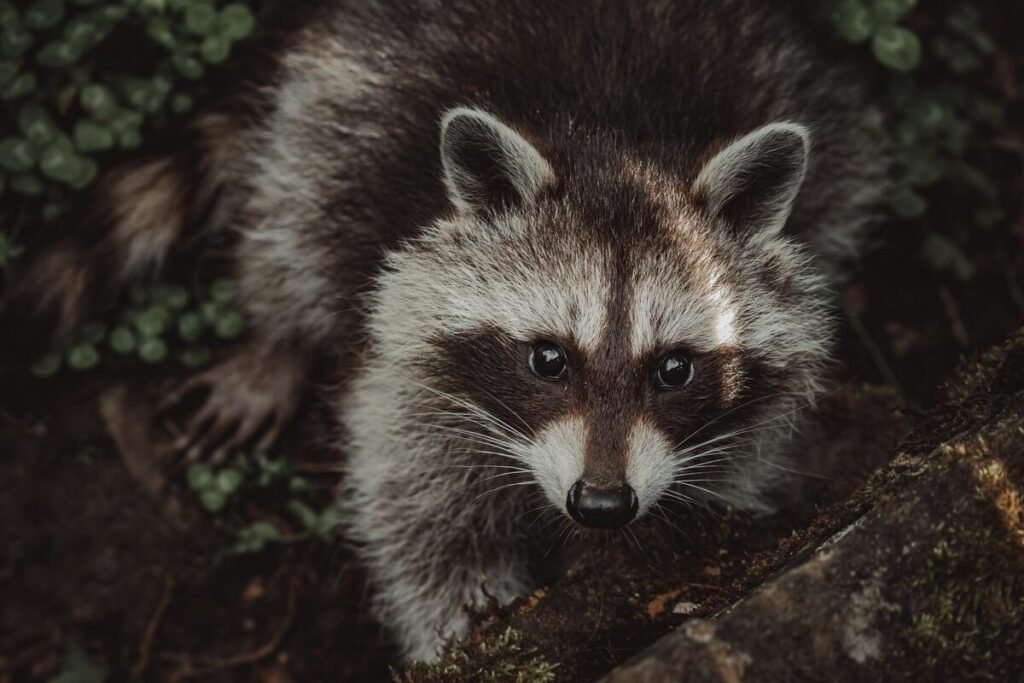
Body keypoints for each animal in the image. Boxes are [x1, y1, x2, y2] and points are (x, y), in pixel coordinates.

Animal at [0, 0, 889, 661]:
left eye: (675, 368)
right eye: (547, 358)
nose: (602, 502)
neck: (621, 139)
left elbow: (713, 492)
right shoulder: (407, 378)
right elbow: (420, 517)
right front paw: (465, 622)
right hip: (344, 90)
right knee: (293, 209)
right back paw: (276, 334)